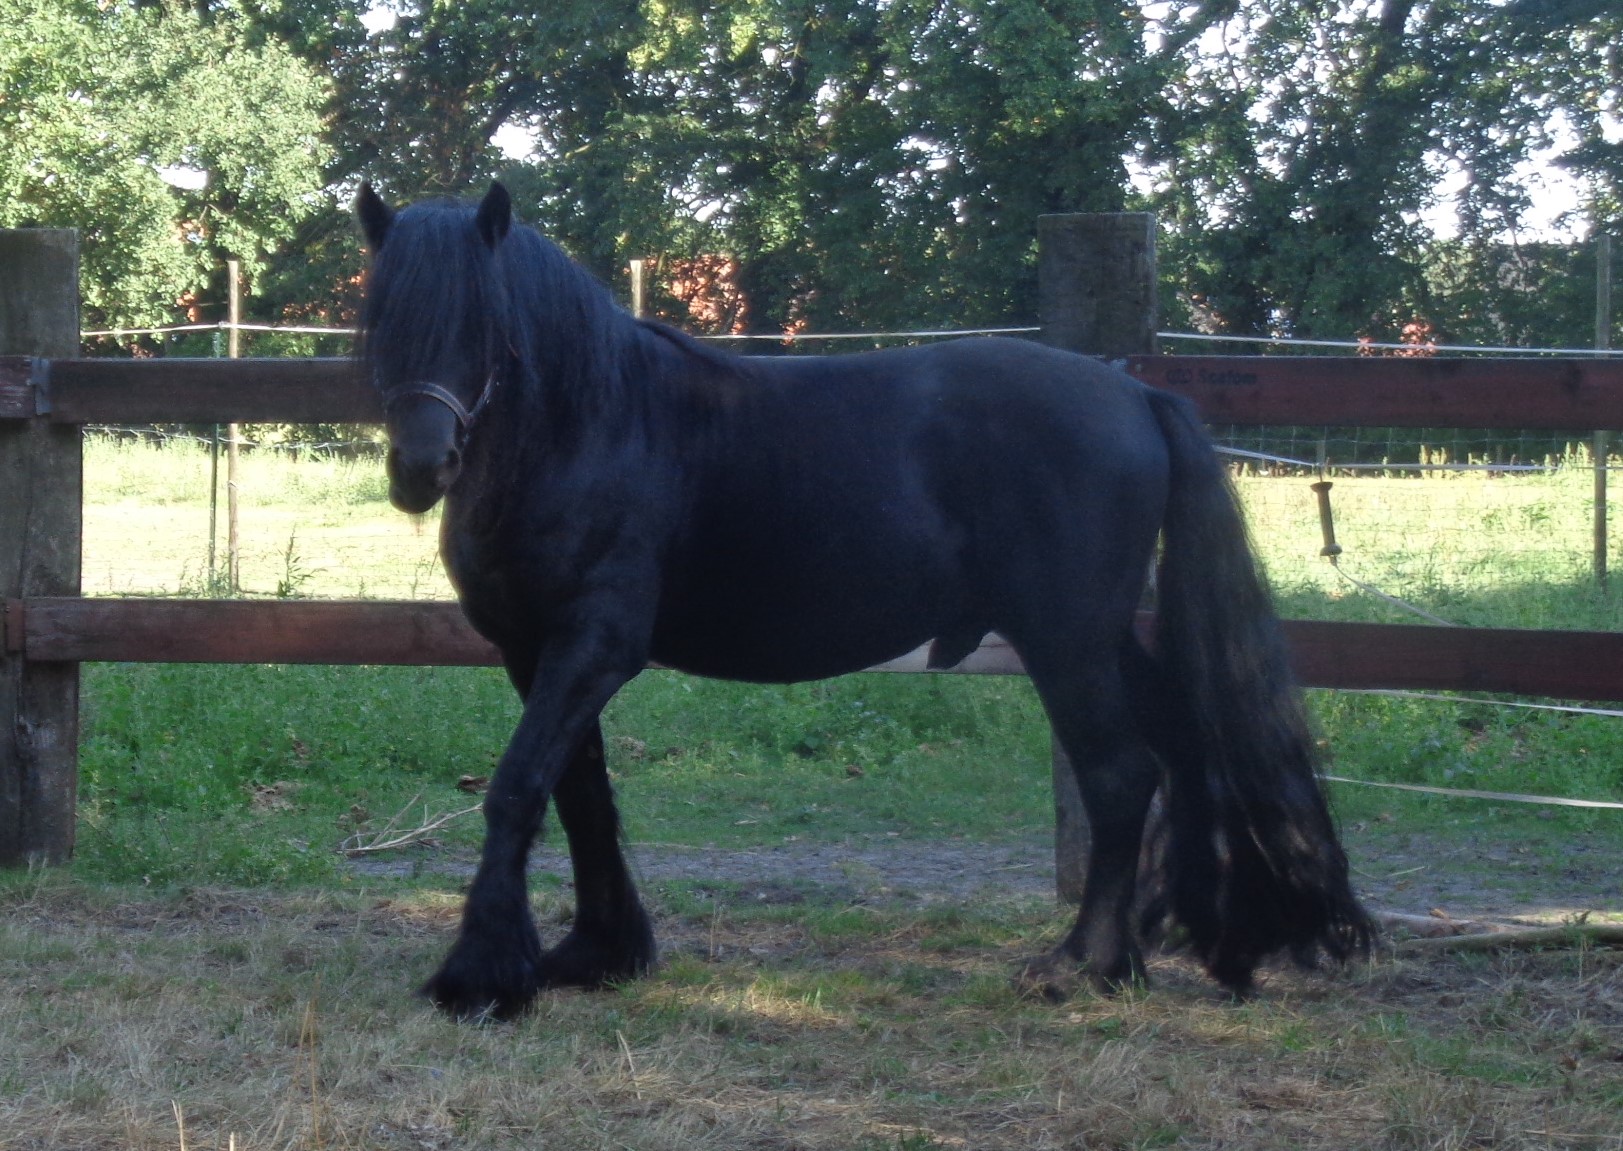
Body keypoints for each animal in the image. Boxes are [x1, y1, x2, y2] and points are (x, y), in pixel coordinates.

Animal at [356, 181, 1373, 1020]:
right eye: (383, 316)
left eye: (482, 319)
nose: (420, 467)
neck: (594, 424)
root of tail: (1133, 395)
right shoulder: (533, 650)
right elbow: (580, 795)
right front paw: (597, 953)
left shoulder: (593, 646)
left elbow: (517, 787)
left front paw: (481, 975)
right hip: (1105, 636)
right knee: (1180, 748)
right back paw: (1173, 947)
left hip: (1066, 640)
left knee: (1121, 774)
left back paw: (1079, 963)